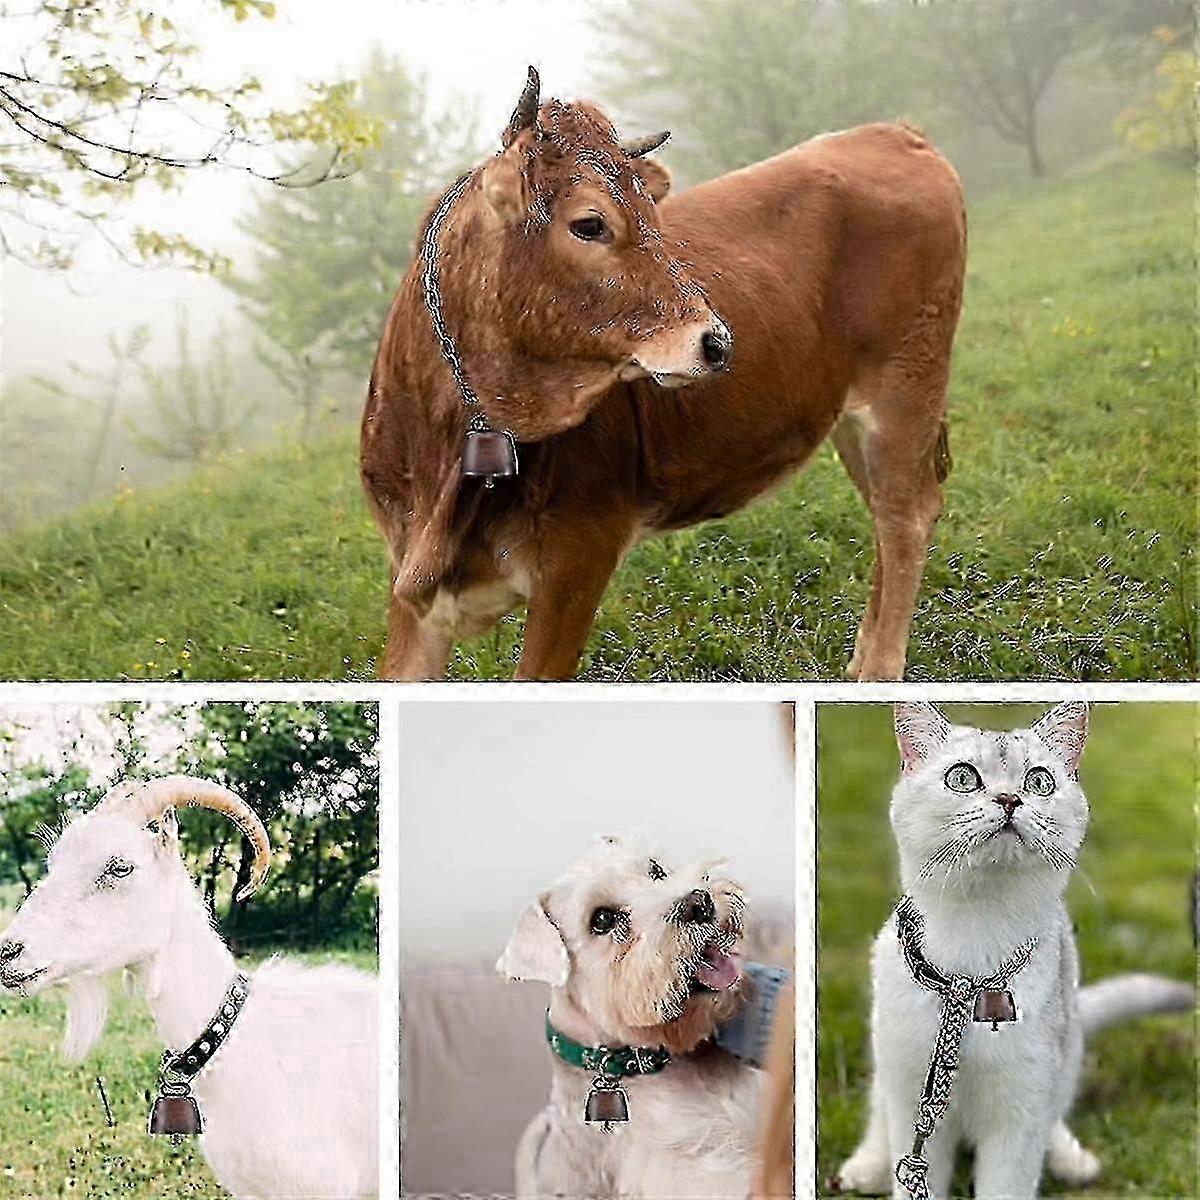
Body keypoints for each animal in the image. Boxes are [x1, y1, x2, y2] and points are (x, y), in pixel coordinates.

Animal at [360, 67, 966, 680]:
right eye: (590, 224)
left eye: (654, 220)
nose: (717, 341)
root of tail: (893, 132)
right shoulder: (408, 579)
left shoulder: (578, 558)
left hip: (906, 386)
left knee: (906, 517)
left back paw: (879, 670)